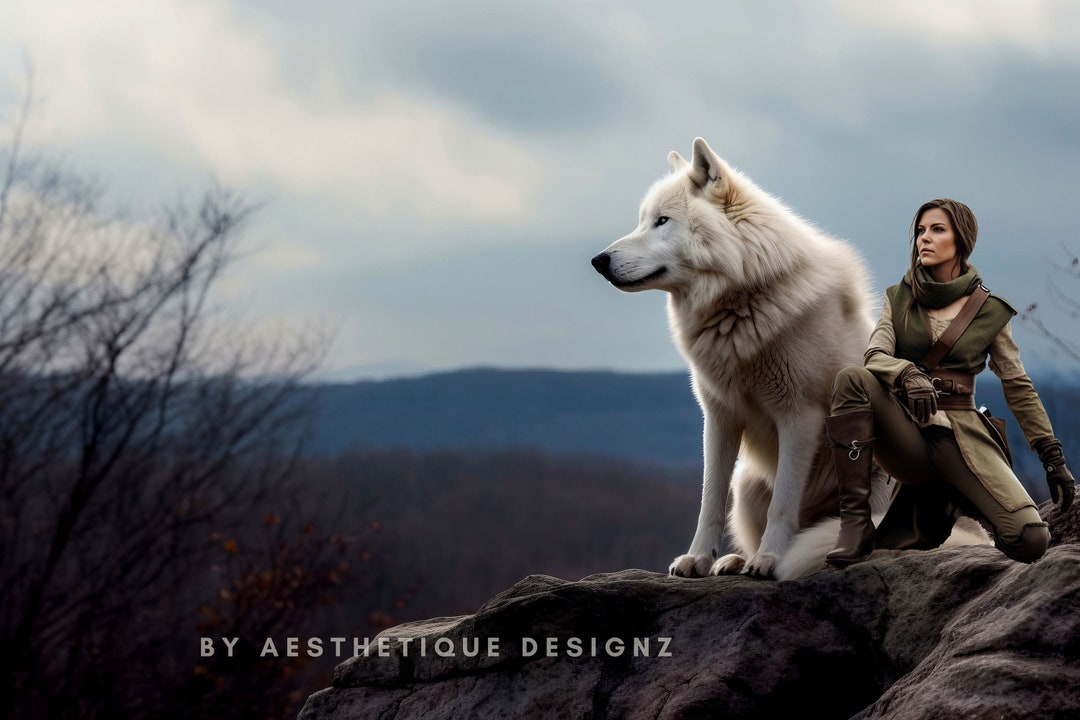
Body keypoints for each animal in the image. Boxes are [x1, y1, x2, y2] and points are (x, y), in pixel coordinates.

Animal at [591, 137, 896, 580]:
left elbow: (783, 503)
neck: (741, 303)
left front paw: (770, 560)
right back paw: (733, 561)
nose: (599, 261)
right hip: (747, 483)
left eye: (662, 221)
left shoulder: (799, 416)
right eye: (643, 221)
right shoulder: (719, 417)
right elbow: (709, 502)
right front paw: (698, 559)